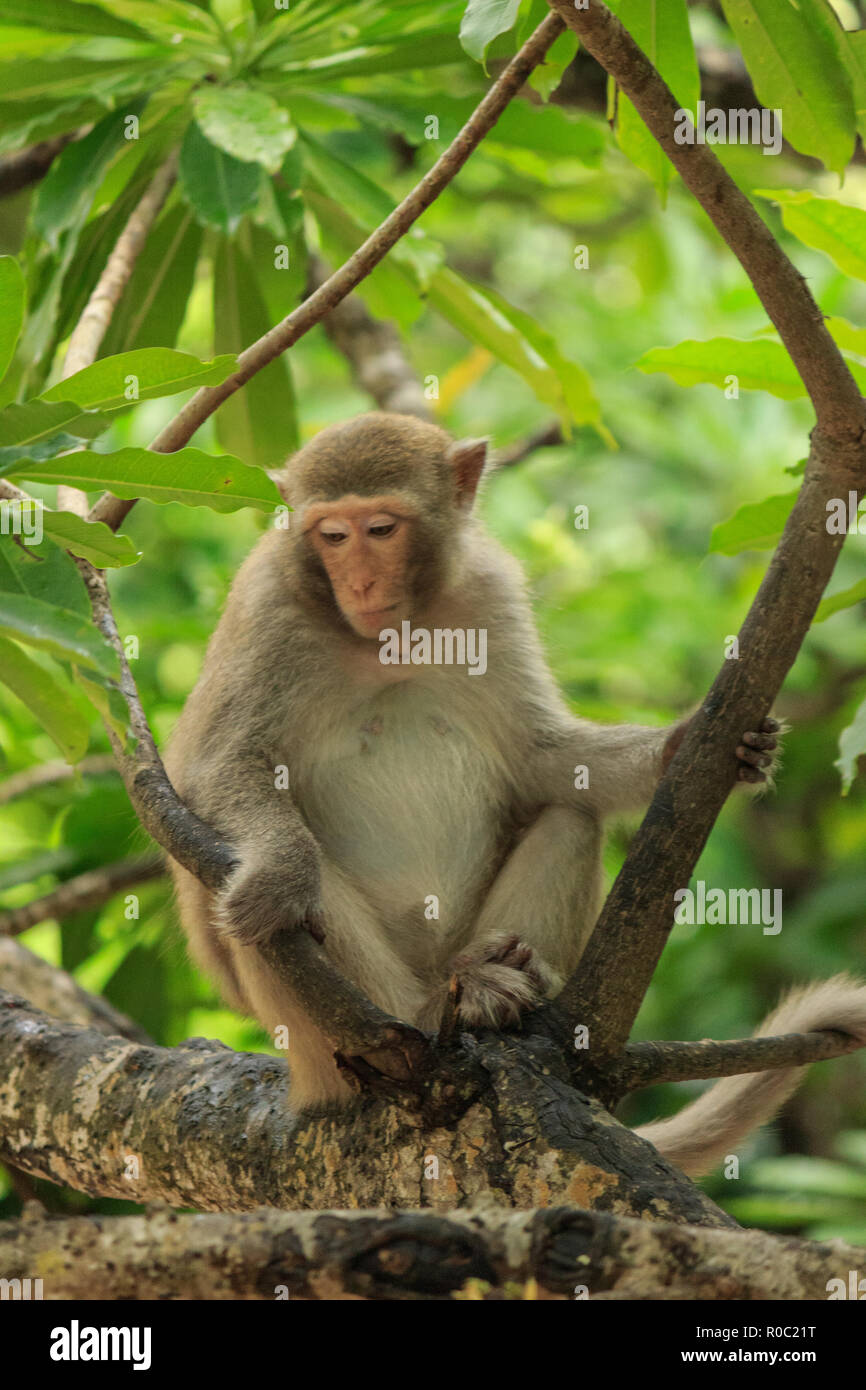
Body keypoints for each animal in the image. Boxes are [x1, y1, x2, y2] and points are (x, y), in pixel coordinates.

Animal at [165, 412, 866, 1177]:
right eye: (332, 535)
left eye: (381, 528)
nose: (360, 580)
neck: (389, 638)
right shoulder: (268, 606)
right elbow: (223, 764)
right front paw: (282, 875)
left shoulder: (488, 591)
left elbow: (542, 761)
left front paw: (687, 747)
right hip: (321, 1045)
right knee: (275, 905)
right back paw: (414, 1020)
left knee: (572, 818)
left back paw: (488, 990)